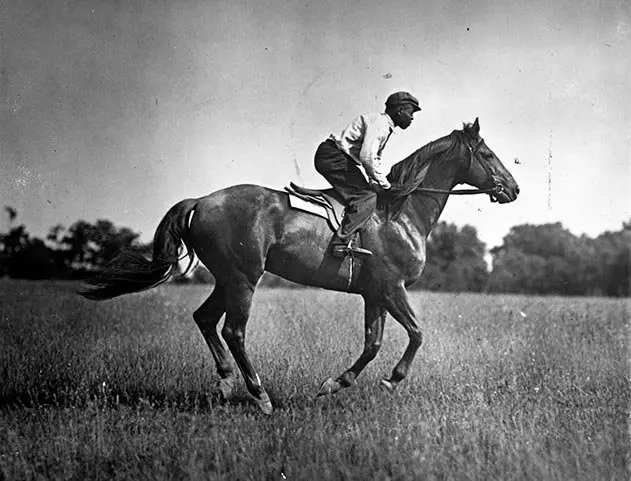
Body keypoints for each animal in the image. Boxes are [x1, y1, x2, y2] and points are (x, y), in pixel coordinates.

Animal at [81, 117, 520, 412]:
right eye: (486, 154)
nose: (514, 189)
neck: (400, 211)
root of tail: (201, 201)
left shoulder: (375, 293)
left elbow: (373, 343)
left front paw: (334, 383)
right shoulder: (392, 288)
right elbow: (416, 334)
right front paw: (391, 382)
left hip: (228, 278)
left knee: (205, 319)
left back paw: (225, 384)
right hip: (244, 279)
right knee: (233, 331)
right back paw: (259, 395)